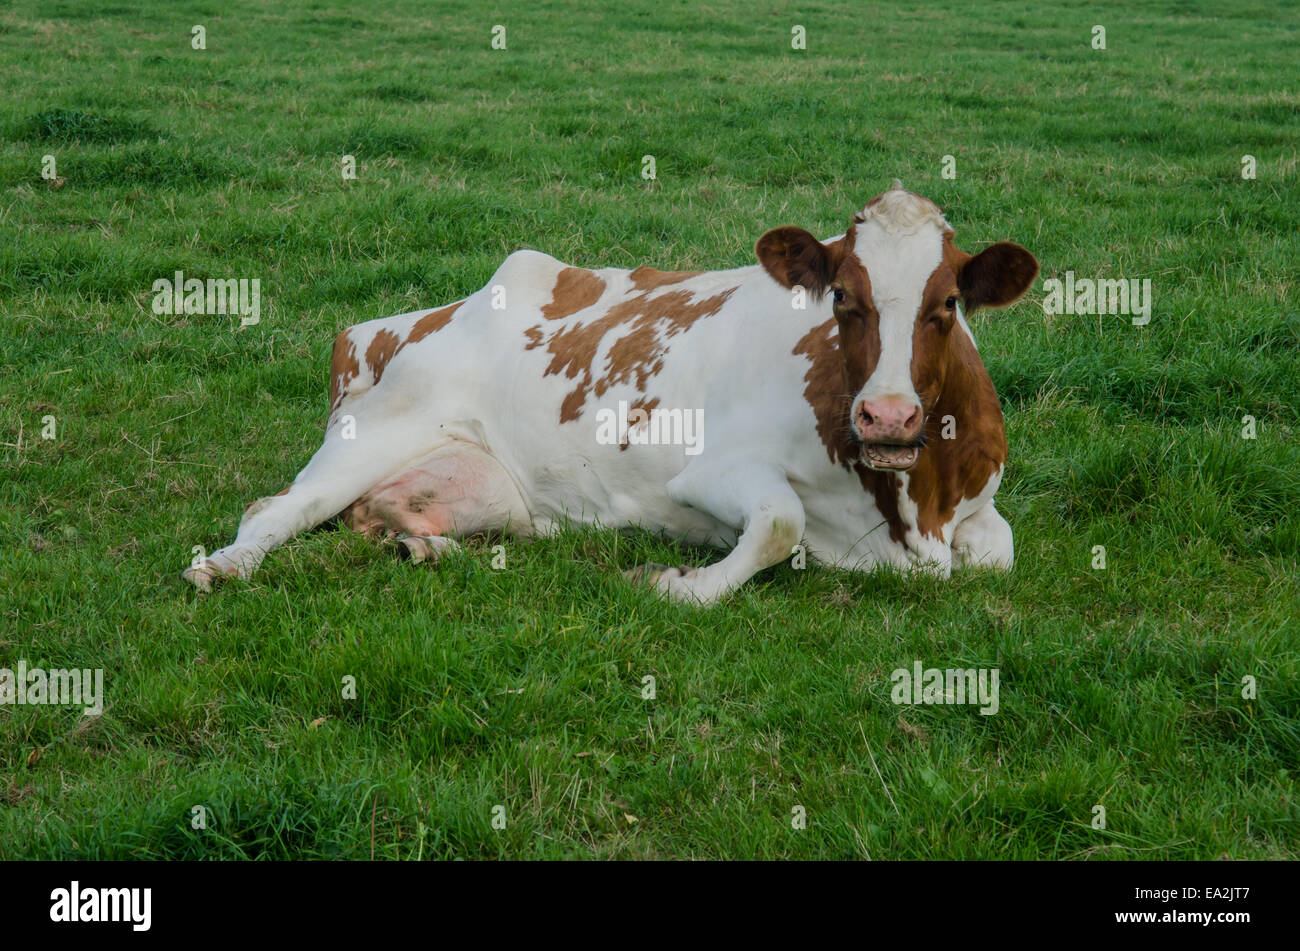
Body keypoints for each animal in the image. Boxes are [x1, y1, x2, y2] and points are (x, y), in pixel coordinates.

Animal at [183, 184, 1038, 604]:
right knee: (274, 509)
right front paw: (673, 582)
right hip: (374, 432)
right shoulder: (711, 470)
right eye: (842, 298)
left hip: (496, 493)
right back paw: (221, 567)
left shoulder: (979, 505)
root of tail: (389, 323)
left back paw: (423, 547)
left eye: (948, 303)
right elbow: (781, 524)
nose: (888, 416)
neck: (913, 515)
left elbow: (999, 554)